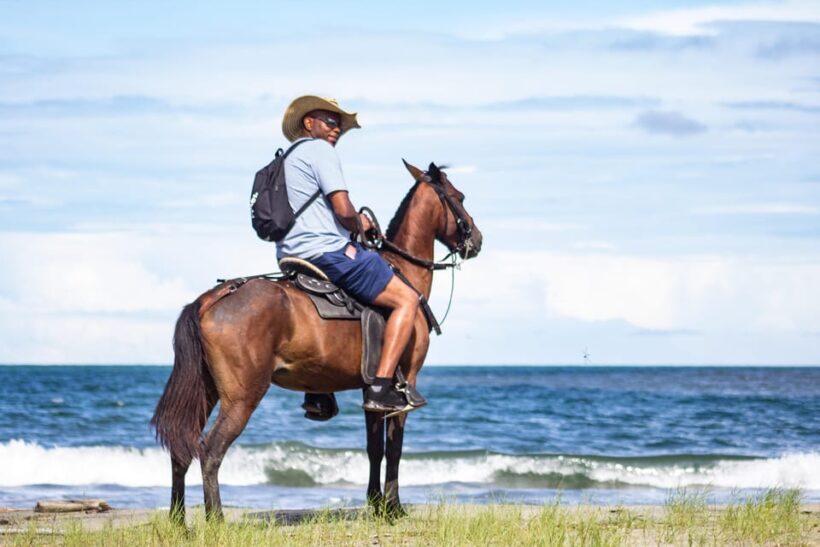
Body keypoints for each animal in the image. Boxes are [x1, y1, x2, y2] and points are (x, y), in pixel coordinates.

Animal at [151, 160, 483, 522]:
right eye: (459, 197)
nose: (477, 239)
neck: (403, 271)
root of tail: (213, 298)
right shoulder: (405, 382)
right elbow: (394, 448)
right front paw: (393, 508)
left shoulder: (372, 391)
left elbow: (374, 449)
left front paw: (376, 503)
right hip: (241, 397)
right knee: (210, 451)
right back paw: (217, 521)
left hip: (207, 390)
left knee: (182, 450)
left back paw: (179, 521)